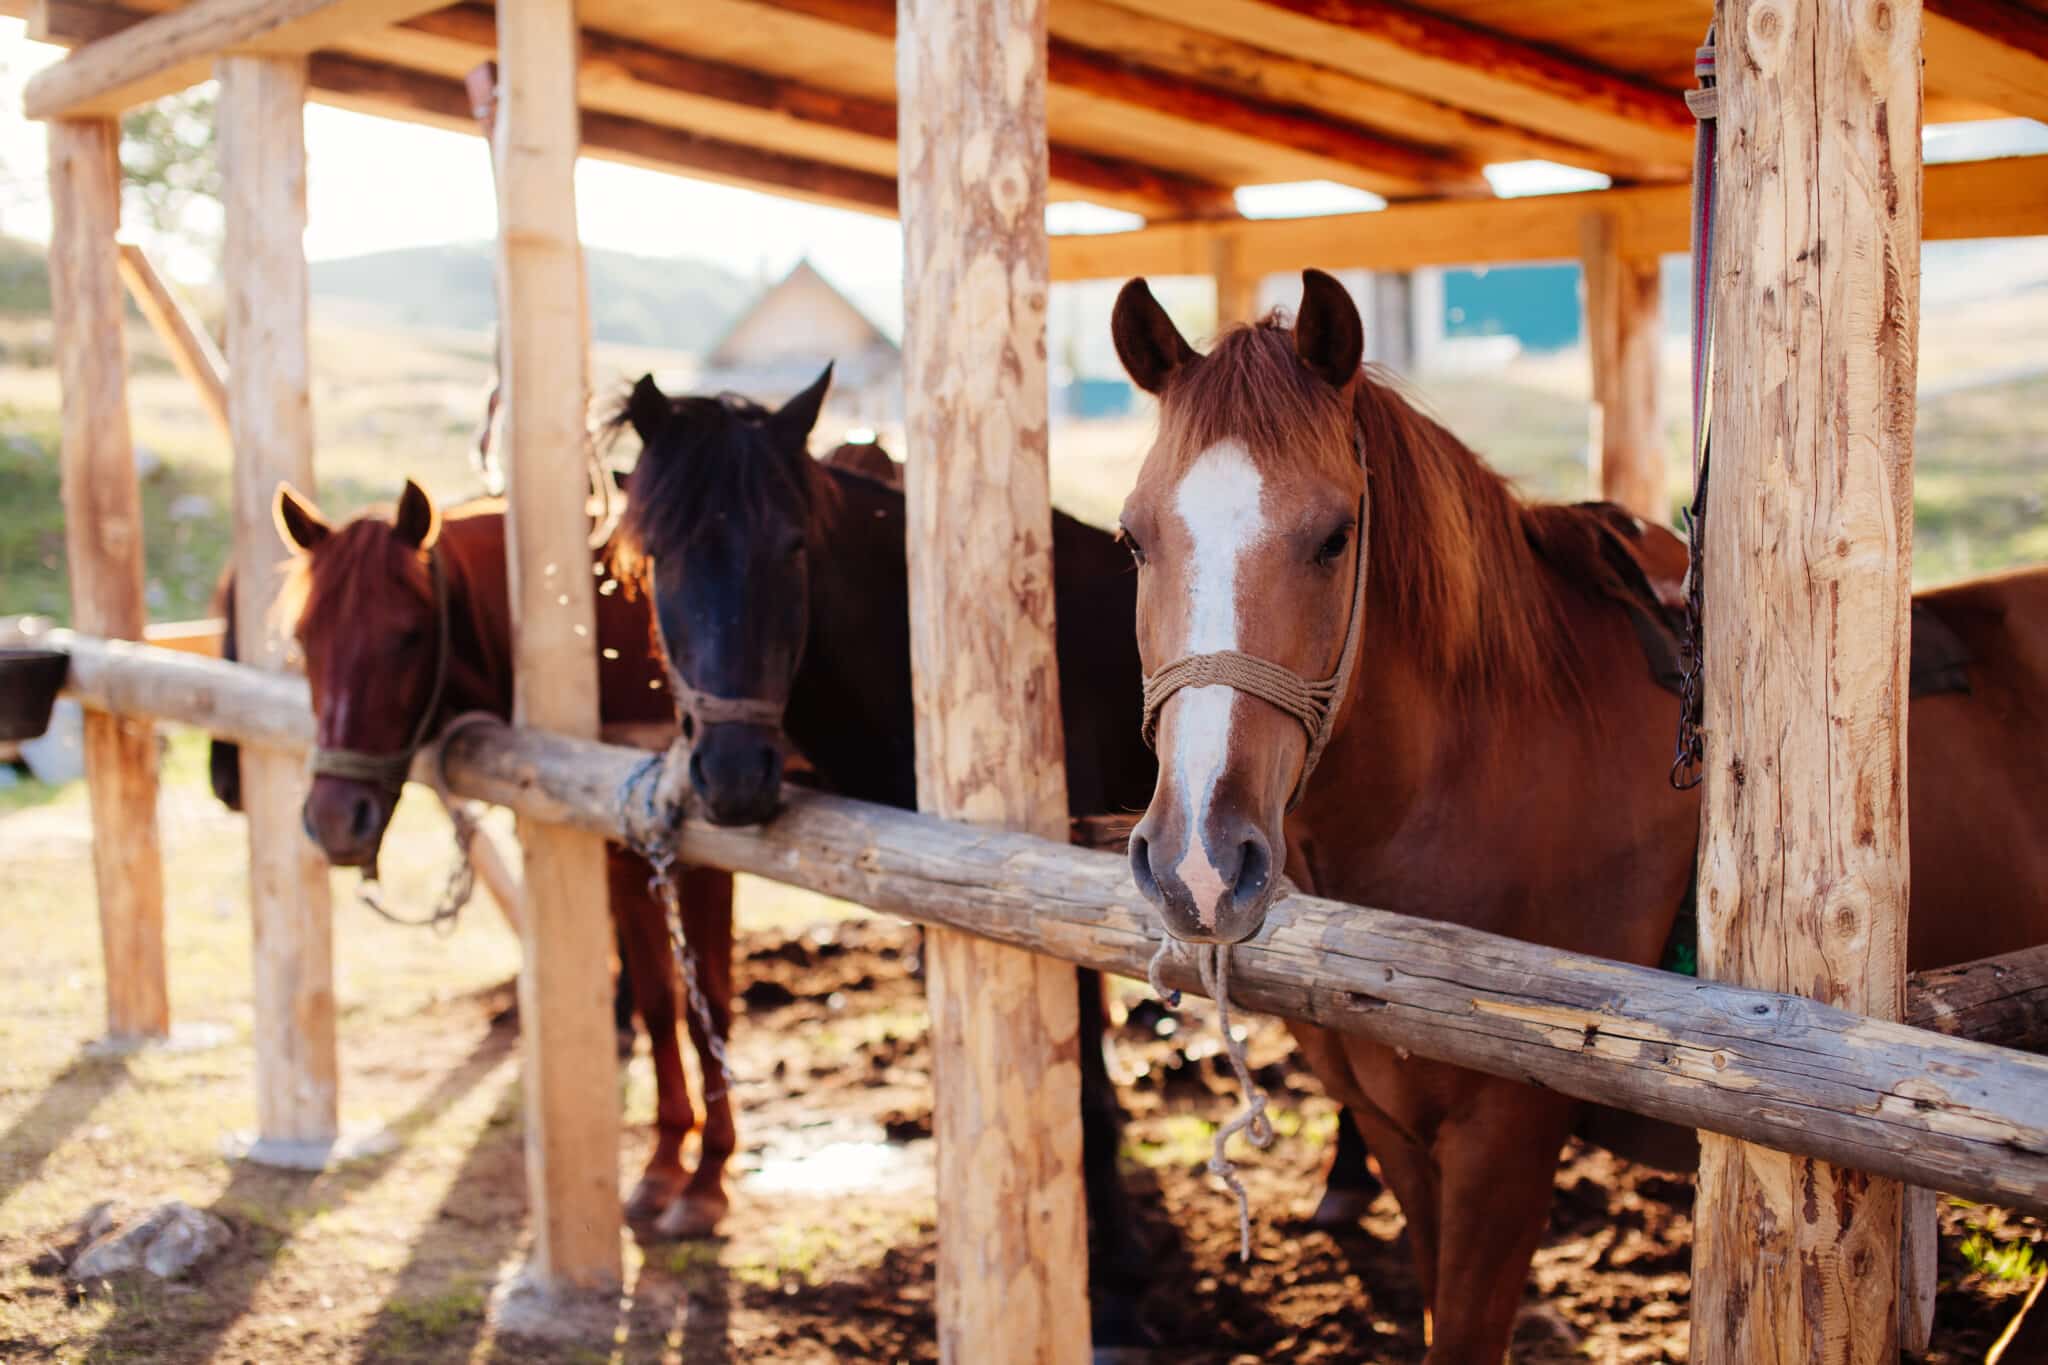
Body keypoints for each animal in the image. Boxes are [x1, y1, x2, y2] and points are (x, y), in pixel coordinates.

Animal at [268, 480, 739, 1240]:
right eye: (306, 638)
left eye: (409, 635)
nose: (337, 820)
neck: (611, 624)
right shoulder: (619, 845)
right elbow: (660, 1003)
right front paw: (665, 1165)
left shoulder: (699, 861)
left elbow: (709, 1011)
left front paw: (708, 1180)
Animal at [1110, 269, 2048, 1361]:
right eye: (1133, 539)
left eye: (1334, 536)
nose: (1199, 863)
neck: (1476, 767)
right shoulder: (1397, 1136)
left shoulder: (1502, 1140)